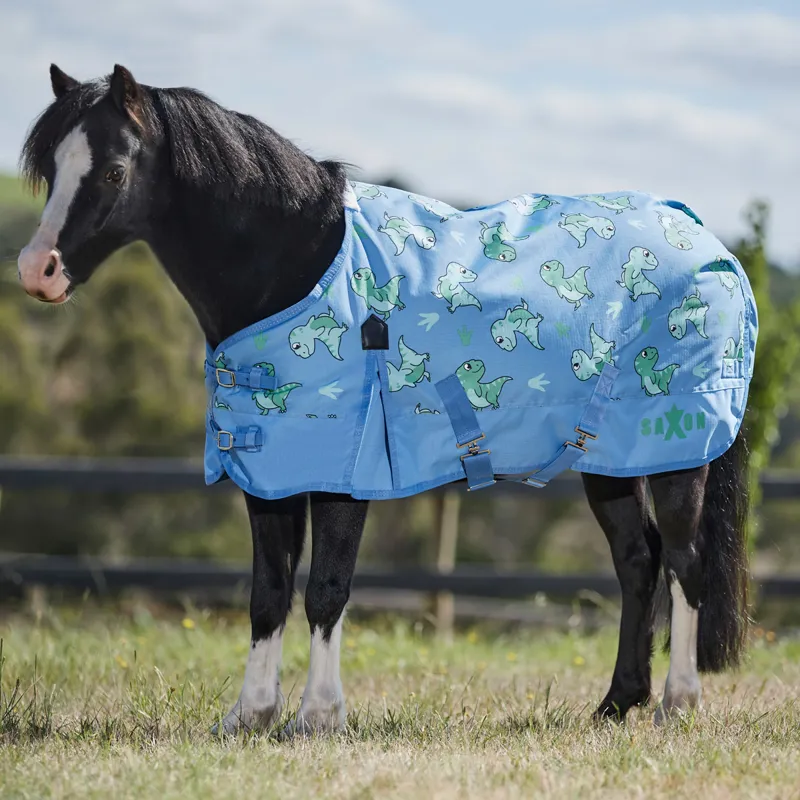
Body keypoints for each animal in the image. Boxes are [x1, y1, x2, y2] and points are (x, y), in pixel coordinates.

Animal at [16, 64, 753, 734]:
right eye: (51, 168)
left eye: (114, 171)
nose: (37, 271)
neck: (298, 265)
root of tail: (704, 239)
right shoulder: (274, 470)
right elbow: (267, 592)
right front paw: (251, 715)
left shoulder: (346, 470)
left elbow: (325, 590)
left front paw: (318, 717)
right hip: (610, 460)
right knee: (638, 562)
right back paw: (616, 704)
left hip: (676, 453)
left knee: (685, 564)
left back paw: (677, 705)